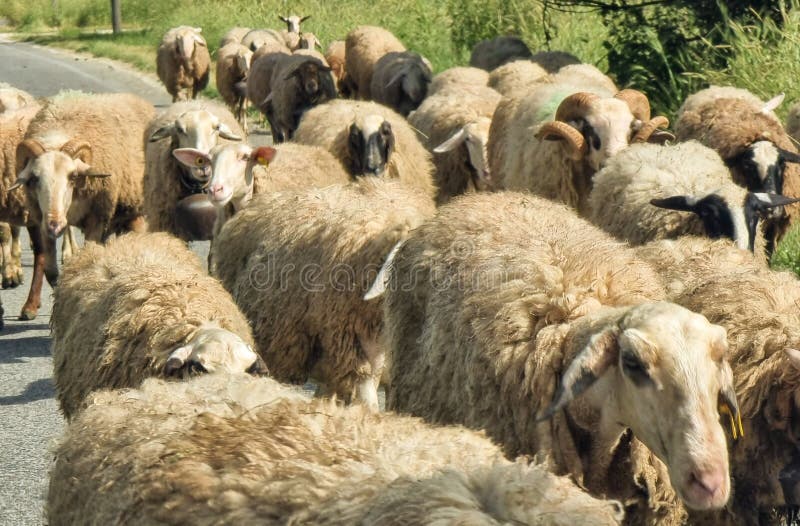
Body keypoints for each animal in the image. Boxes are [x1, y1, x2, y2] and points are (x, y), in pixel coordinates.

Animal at [13, 91, 154, 288]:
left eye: (73, 176)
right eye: (35, 178)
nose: (55, 224)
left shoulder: (97, 217)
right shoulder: (42, 219)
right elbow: (51, 272)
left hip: (135, 213)